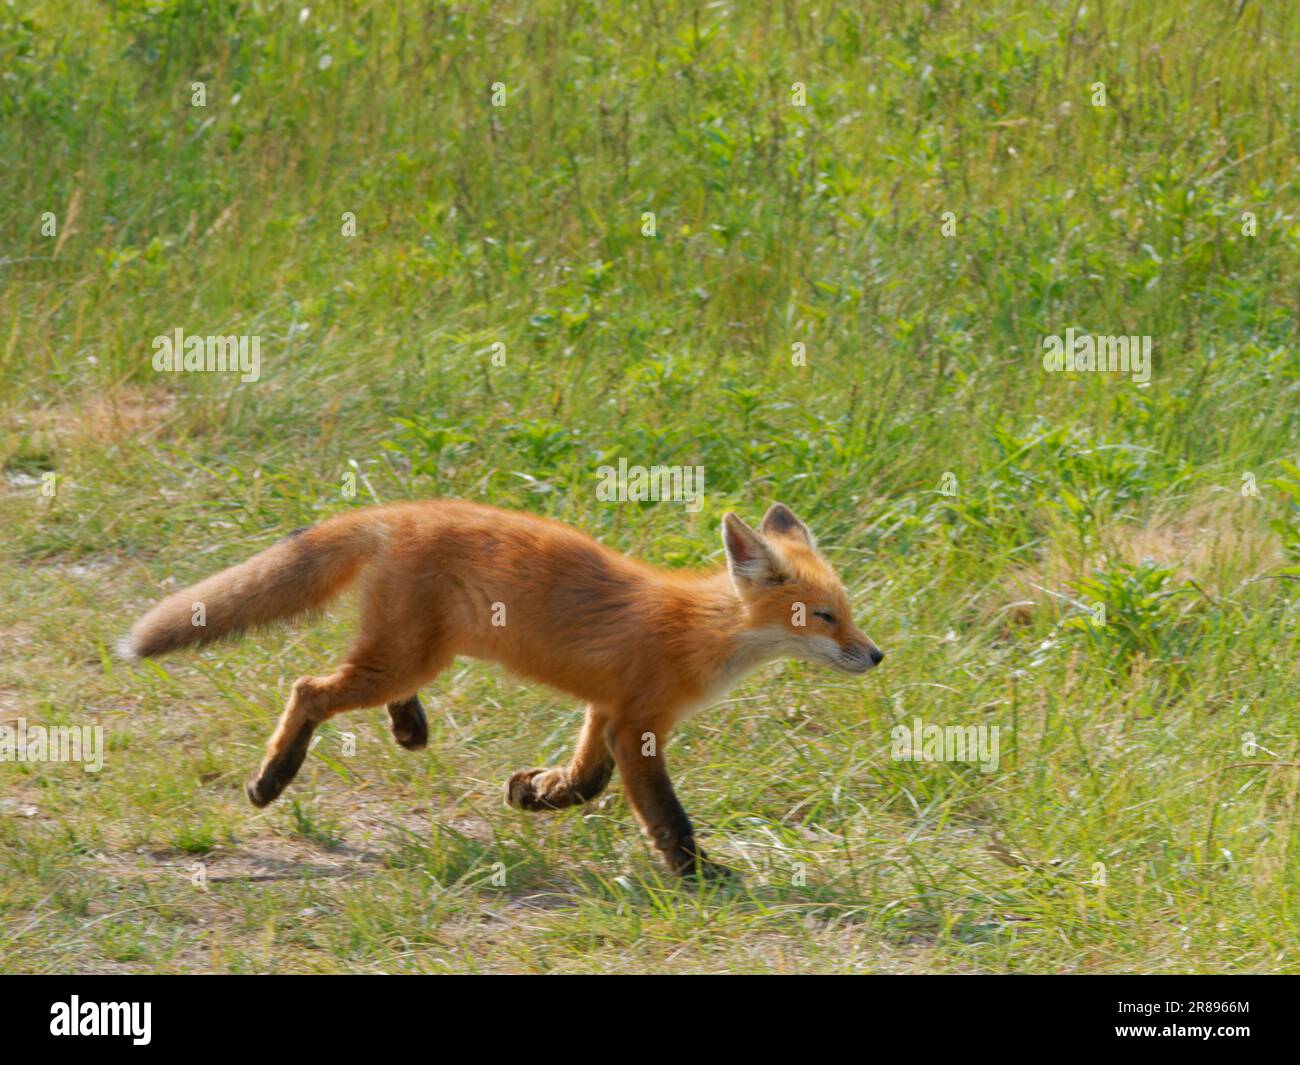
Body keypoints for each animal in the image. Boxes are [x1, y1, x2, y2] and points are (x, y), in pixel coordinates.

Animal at [120, 500, 883, 877]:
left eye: (848, 611)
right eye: (824, 616)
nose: (876, 654)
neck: (702, 631)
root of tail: (400, 510)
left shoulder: (606, 710)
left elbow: (586, 781)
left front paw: (533, 794)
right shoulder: (639, 722)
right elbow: (666, 814)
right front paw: (699, 873)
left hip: (415, 653)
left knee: (362, 687)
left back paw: (408, 727)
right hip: (404, 658)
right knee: (310, 687)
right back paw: (274, 777)